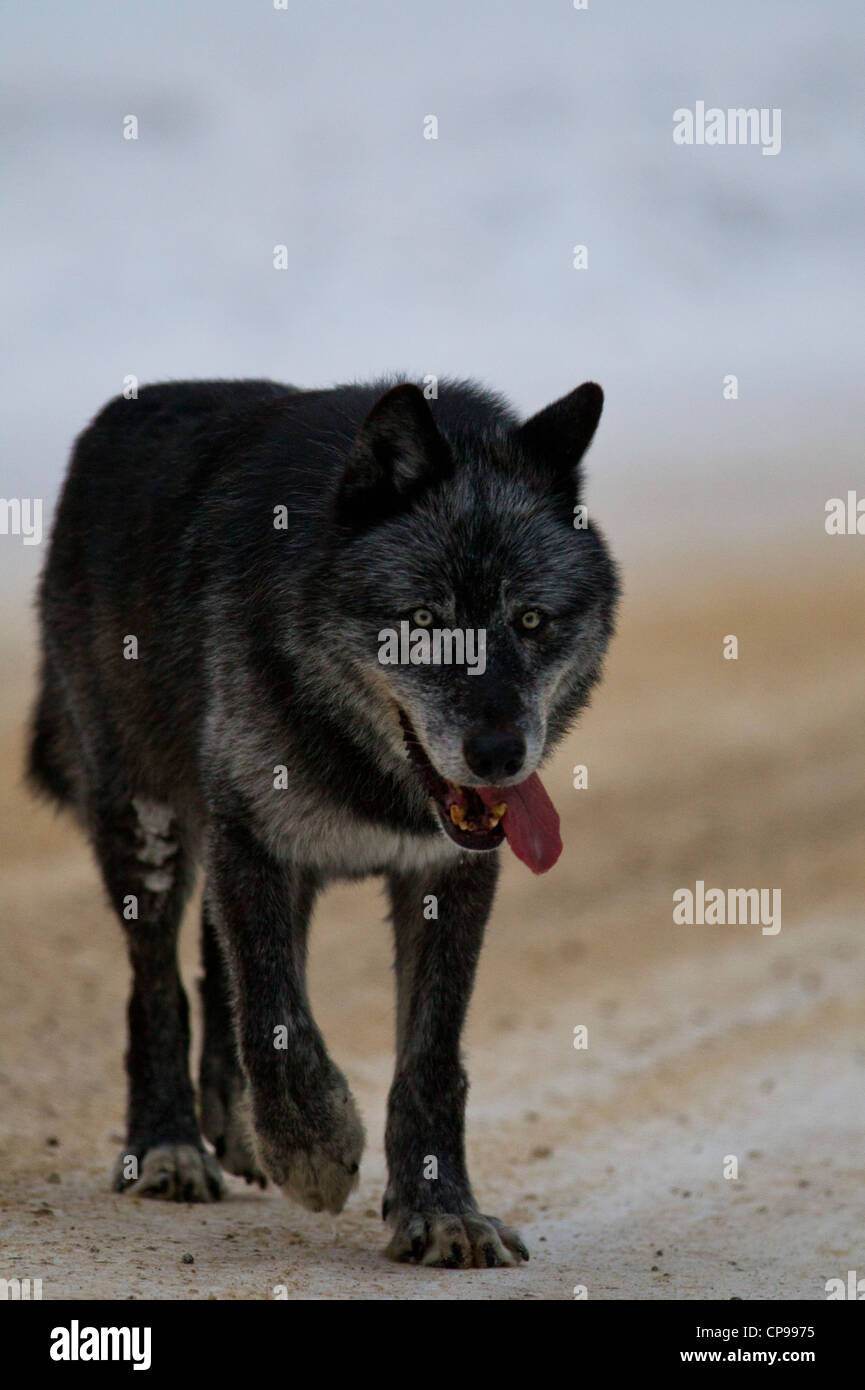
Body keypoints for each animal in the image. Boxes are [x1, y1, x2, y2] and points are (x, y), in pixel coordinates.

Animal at [28, 375, 618, 1268]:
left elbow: (428, 1059)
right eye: (422, 621)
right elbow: (276, 1023)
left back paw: (235, 1128)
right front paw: (313, 1150)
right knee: (159, 985)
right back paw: (169, 1146)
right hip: (148, 829)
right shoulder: (254, 843)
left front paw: (441, 1210)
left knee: (217, 972)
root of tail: (118, 413)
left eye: (530, 621)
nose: (498, 754)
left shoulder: (443, 874)